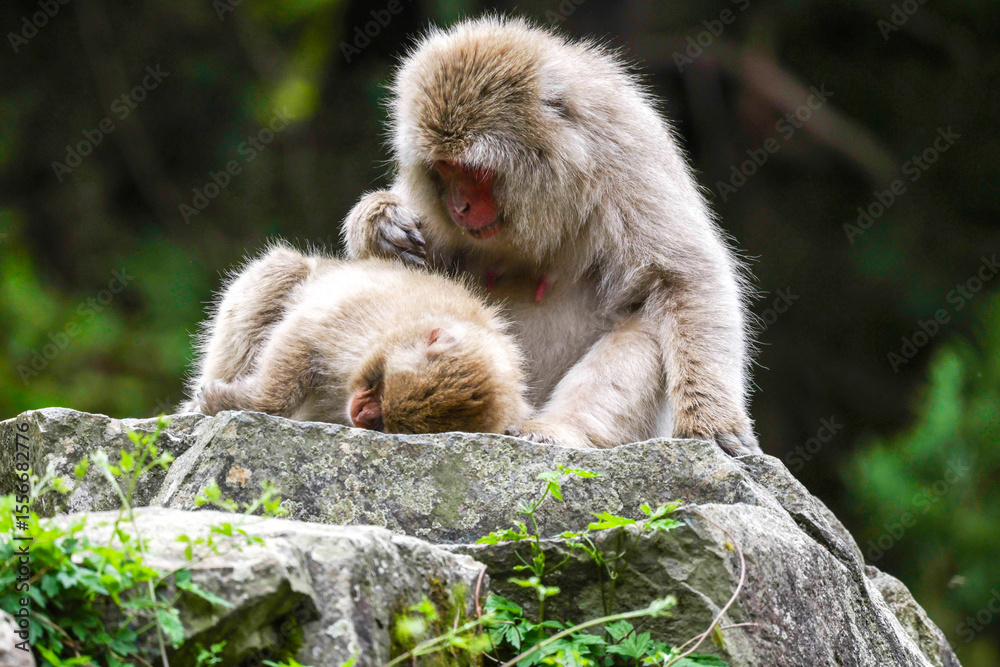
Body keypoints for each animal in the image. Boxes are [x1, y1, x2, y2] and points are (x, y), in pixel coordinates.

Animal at [183, 245, 530, 435]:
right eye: (380, 385)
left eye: (385, 423)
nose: (361, 414)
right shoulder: (361, 318)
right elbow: (302, 333)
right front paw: (253, 403)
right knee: (283, 269)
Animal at [341, 17, 761, 455]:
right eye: (443, 166)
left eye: (474, 171)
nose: (460, 206)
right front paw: (380, 223)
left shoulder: (625, 157)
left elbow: (685, 279)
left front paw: (710, 420)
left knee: (648, 321)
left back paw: (556, 428)